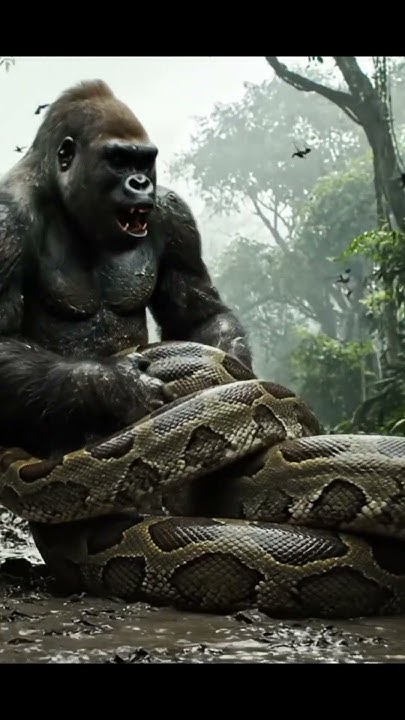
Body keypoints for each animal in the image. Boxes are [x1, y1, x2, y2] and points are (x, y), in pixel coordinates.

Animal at [0, 80, 251, 458]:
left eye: (144, 161)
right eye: (118, 160)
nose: (140, 183)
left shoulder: (175, 215)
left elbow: (198, 317)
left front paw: (237, 364)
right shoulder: (7, 219)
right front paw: (118, 384)